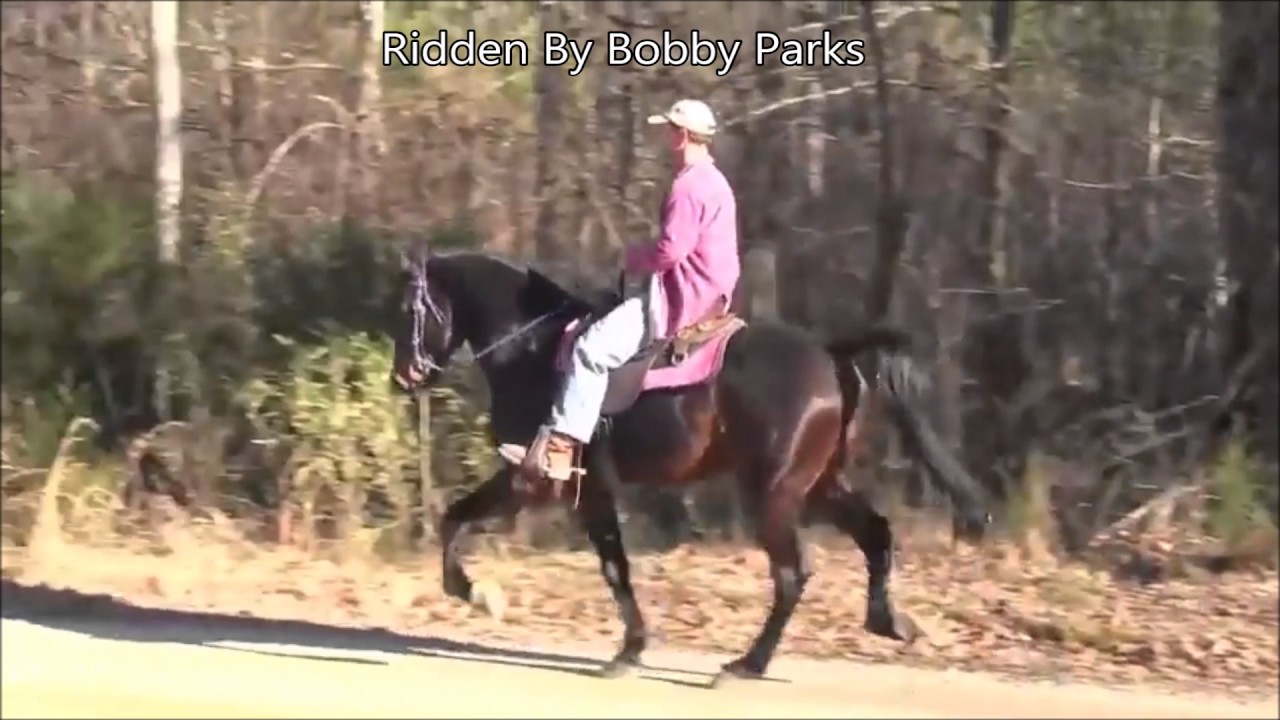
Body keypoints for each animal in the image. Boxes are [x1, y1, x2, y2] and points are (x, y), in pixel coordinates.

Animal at [389, 246, 990, 686]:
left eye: (409, 310)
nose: (403, 377)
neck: (533, 349)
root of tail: (830, 353)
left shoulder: (539, 482)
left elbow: (601, 564)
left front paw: (481, 594)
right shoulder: (584, 490)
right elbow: (596, 560)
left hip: (773, 493)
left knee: (793, 574)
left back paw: (747, 665)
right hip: (817, 485)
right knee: (875, 534)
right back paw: (890, 623)